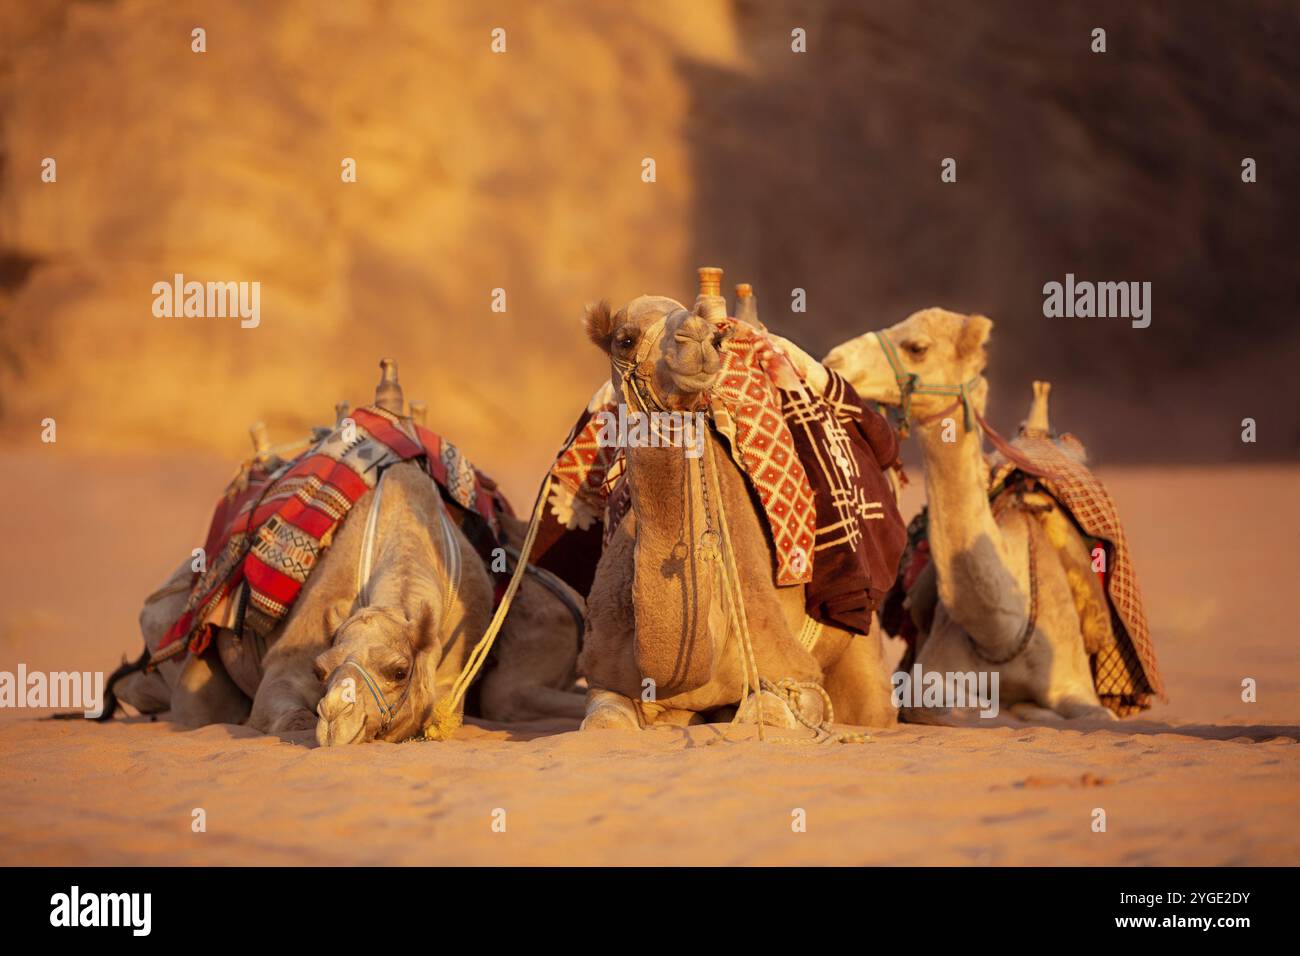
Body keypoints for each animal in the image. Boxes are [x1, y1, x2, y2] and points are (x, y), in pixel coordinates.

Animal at [576, 295, 896, 733]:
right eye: (625, 339)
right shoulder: (602, 677)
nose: (697, 338)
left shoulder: (797, 675)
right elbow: (604, 722)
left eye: (714, 338)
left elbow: (765, 712)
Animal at [822, 309, 1115, 722]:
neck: (1002, 633)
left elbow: (1093, 716)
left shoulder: (1074, 683)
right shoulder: (929, 674)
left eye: (917, 347)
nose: (835, 360)